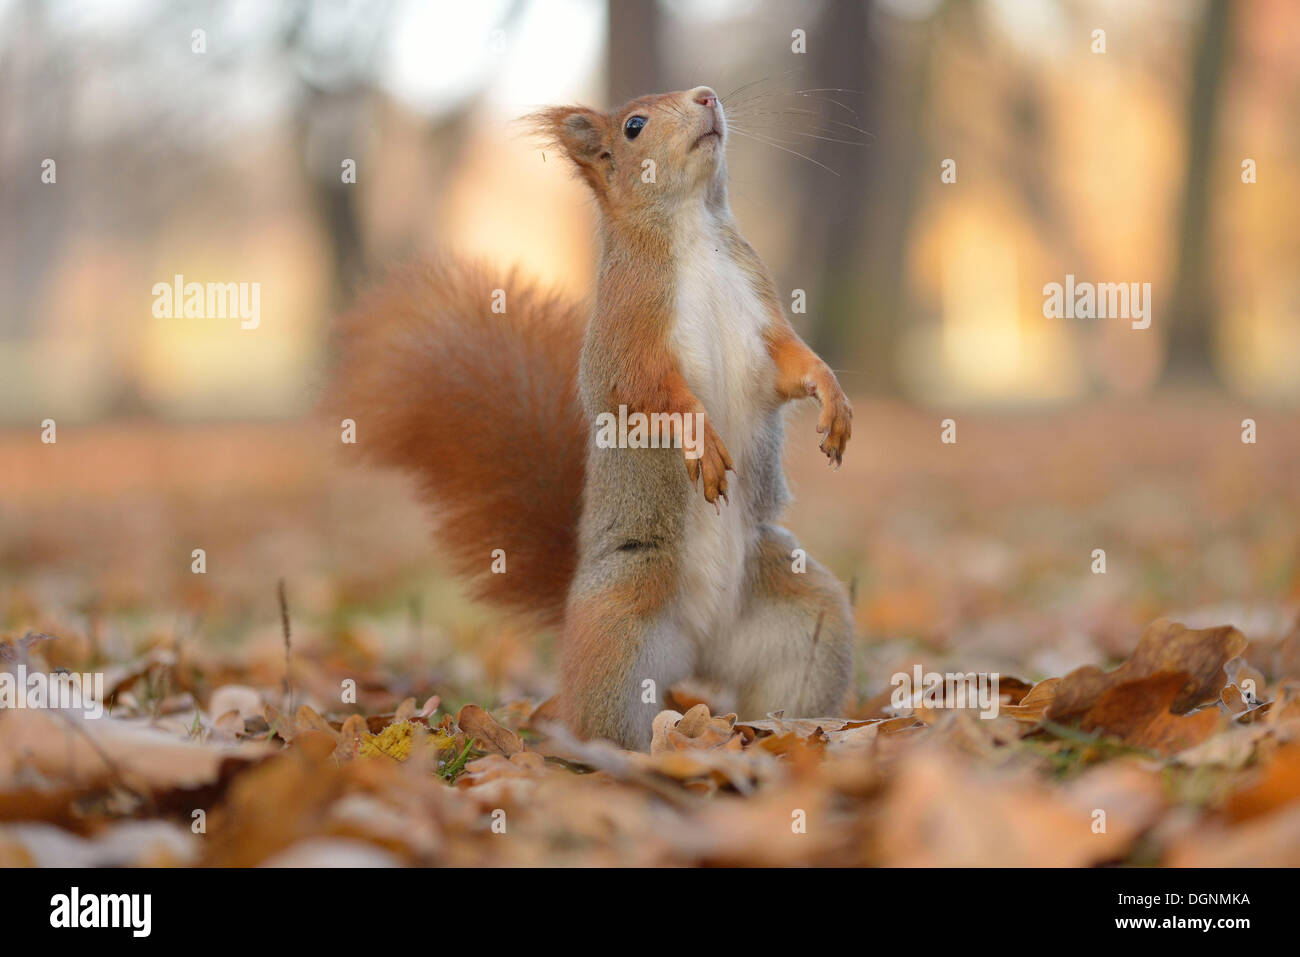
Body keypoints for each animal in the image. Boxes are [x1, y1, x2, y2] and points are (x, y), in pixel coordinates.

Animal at [331, 86, 855, 750]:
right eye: (633, 126)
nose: (707, 95)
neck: (691, 230)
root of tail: (701, 649)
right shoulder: (625, 332)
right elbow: (646, 395)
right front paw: (700, 440)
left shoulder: (758, 316)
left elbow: (792, 366)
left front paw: (833, 400)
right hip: (620, 625)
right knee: (604, 714)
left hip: (800, 611)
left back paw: (791, 732)